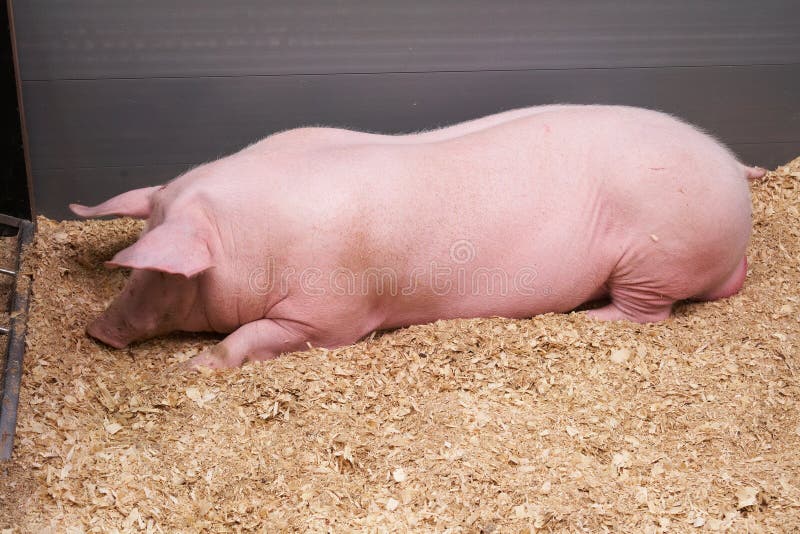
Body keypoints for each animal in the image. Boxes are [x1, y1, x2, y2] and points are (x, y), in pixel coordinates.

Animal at [70, 105, 765, 368]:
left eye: (158, 274)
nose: (95, 332)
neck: (252, 246)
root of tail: (735, 171)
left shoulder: (332, 315)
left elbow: (253, 336)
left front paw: (197, 364)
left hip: (657, 254)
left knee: (646, 314)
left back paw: (589, 317)